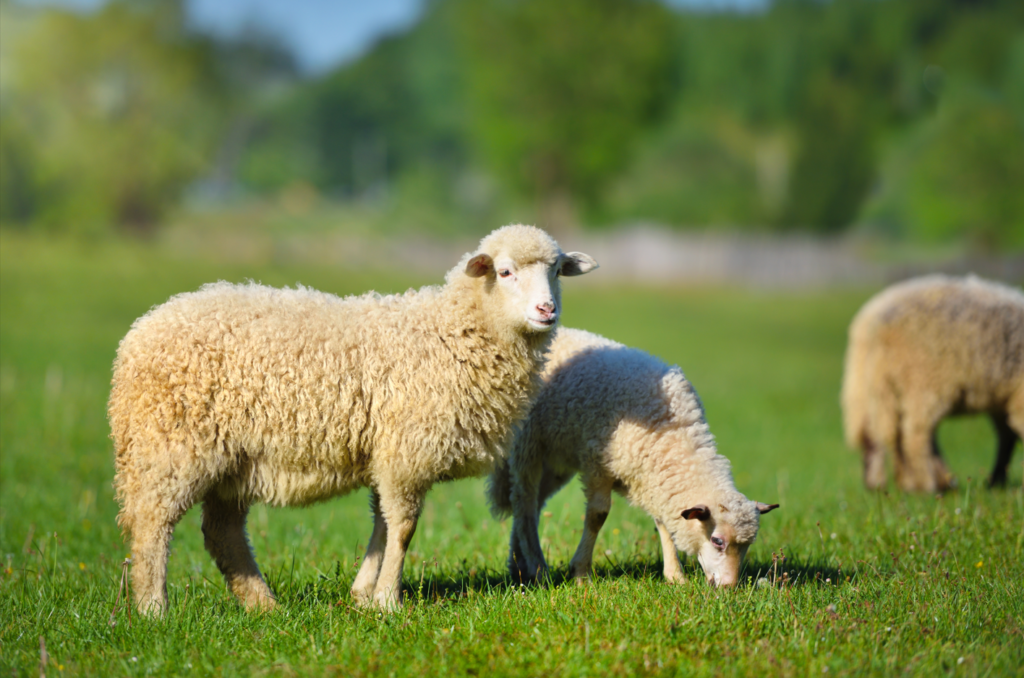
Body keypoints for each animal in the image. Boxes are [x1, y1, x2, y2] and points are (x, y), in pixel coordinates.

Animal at [107, 224, 597, 615]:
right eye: (506, 272)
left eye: (557, 271)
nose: (546, 311)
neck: (453, 333)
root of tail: (137, 335)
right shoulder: (406, 451)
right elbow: (403, 527)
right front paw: (388, 601)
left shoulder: (389, 451)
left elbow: (382, 521)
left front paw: (364, 593)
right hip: (170, 446)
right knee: (152, 525)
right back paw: (154, 609)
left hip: (233, 460)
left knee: (221, 533)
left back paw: (263, 606)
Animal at [488, 327, 778, 588]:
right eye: (717, 541)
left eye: (748, 545)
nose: (729, 587)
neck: (673, 435)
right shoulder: (598, 465)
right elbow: (597, 516)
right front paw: (581, 573)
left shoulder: (653, 477)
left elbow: (663, 522)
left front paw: (675, 576)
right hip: (528, 444)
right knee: (524, 503)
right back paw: (537, 568)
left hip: (556, 461)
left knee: (531, 504)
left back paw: (519, 565)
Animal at [841, 274, 1024, 493]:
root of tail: (871, 319)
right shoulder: (1017, 397)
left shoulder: (1003, 401)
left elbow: (1007, 437)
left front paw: (997, 482)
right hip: (922, 379)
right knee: (914, 435)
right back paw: (925, 484)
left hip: (866, 384)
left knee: (877, 434)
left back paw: (892, 482)